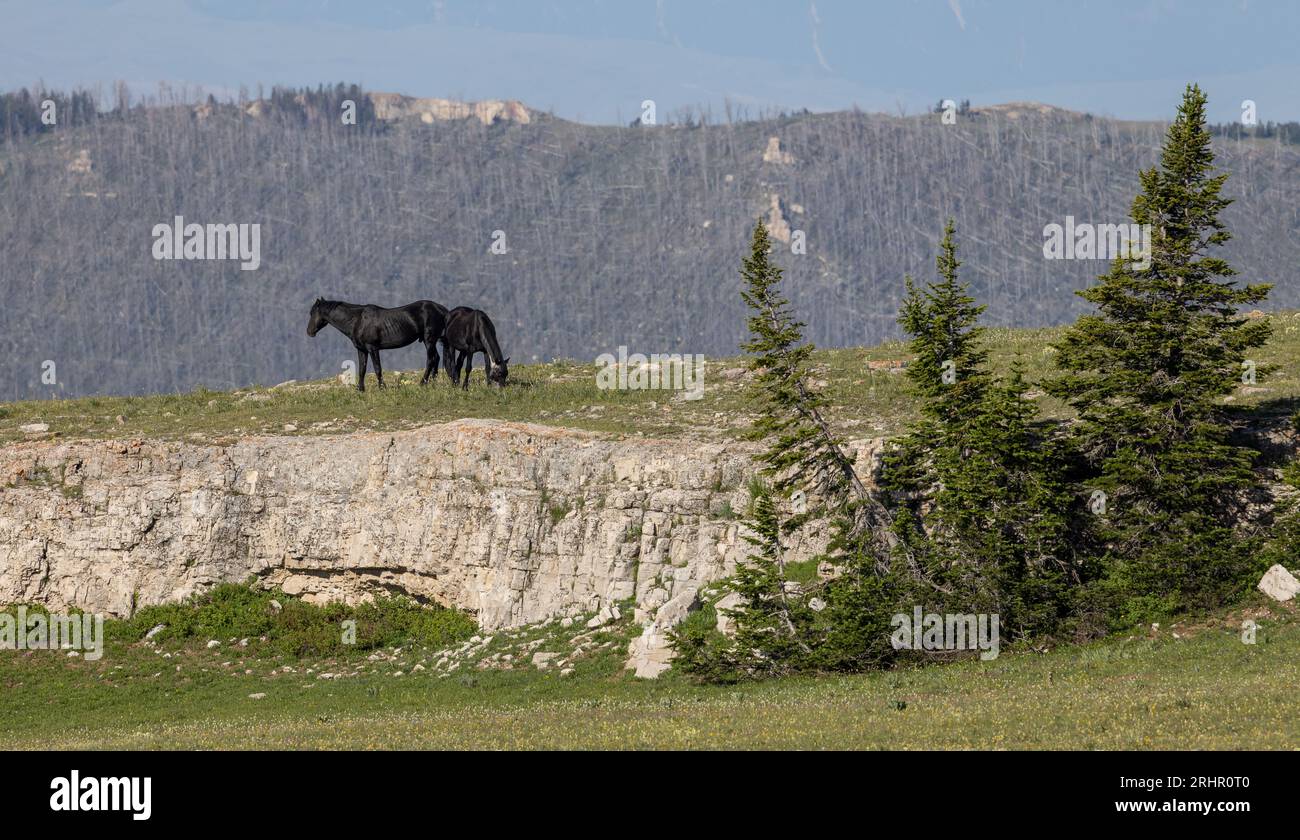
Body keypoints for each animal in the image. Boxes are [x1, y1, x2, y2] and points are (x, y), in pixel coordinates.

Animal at [306, 298, 448, 391]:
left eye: (313, 313)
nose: (309, 332)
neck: (357, 320)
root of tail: (441, 309)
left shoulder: (372, 348)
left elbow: (377, 368)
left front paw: (382, 388)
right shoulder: (362, 349)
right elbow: (362, 369)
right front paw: (360, 389)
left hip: (429, 340)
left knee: (431, 359)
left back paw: (423, 383)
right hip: (429, 341)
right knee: (436, 358)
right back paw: (433, 382)